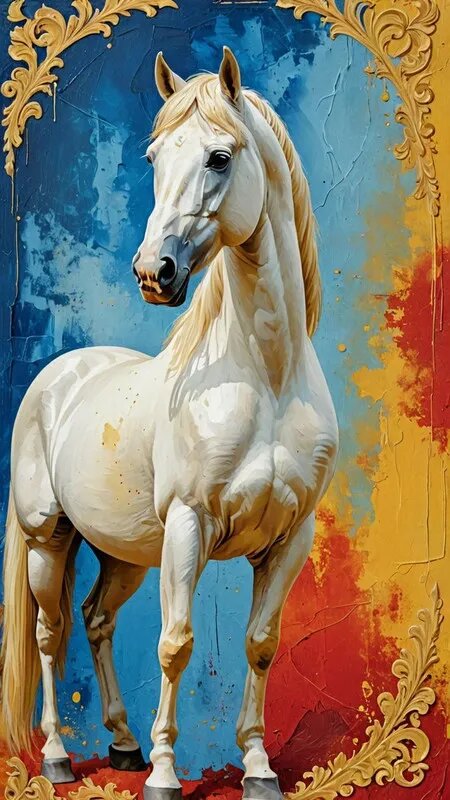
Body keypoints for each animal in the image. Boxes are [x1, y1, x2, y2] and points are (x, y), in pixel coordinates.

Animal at [1, 47, 338, 800]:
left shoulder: (289, 540)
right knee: (50, 633)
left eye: (219, 156)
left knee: (96, 619)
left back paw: (122, 744)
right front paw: (162, 773)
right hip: (48, 538)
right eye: (154, 156)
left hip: (125, 552)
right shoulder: (188, 526)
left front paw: (257, 768)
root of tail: (56, 377)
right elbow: (176, 643)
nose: (153, 273)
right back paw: (59, 756)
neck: (265, 380)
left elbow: (261, 645)